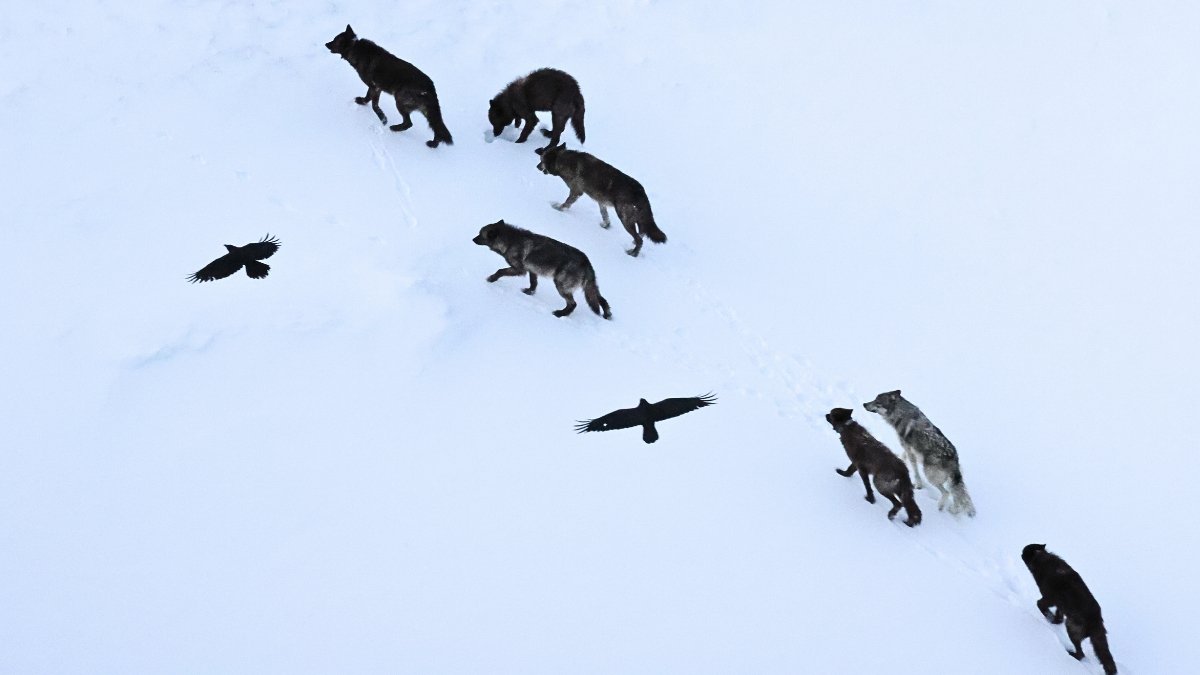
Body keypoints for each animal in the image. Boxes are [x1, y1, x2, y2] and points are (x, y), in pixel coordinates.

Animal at [472, 220, 611, 319]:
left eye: (480, 234)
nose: (472, 239)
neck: (510, 241)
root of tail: (586, 262)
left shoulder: (519, 270)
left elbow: (500, 271)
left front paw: (491, 279)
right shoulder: (532, 271)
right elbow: (533, 283)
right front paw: (529, 292)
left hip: (560, 285)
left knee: (573, 304)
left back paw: (560, 314)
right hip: (590, 289)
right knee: (602, 300)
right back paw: (607, 315)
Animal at [536, 143, 667, 257]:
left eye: (542, 159)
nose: (537, 166)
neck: (563, 160)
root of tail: (640, 191)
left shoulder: (576, 191)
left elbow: (566, 203)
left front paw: (557, 208)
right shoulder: (601, 201)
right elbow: (604, 215)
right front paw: (606, 226)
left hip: (625, 218)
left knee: (640, 239)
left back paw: (633, 253)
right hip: (637, 218)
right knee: (643, 231)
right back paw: (633, 245)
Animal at [1022, 544, 1117, 674]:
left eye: (1025, 551)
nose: (1020, 553)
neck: (1043, 559)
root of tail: (1096, 621)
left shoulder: (1049, 598)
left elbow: (1039, 604)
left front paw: (1048, 616)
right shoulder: (1060, 605)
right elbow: (1058, 616)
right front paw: (1054, 621)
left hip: (1071, 628)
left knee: (1081, 654)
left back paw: (1071, 654)